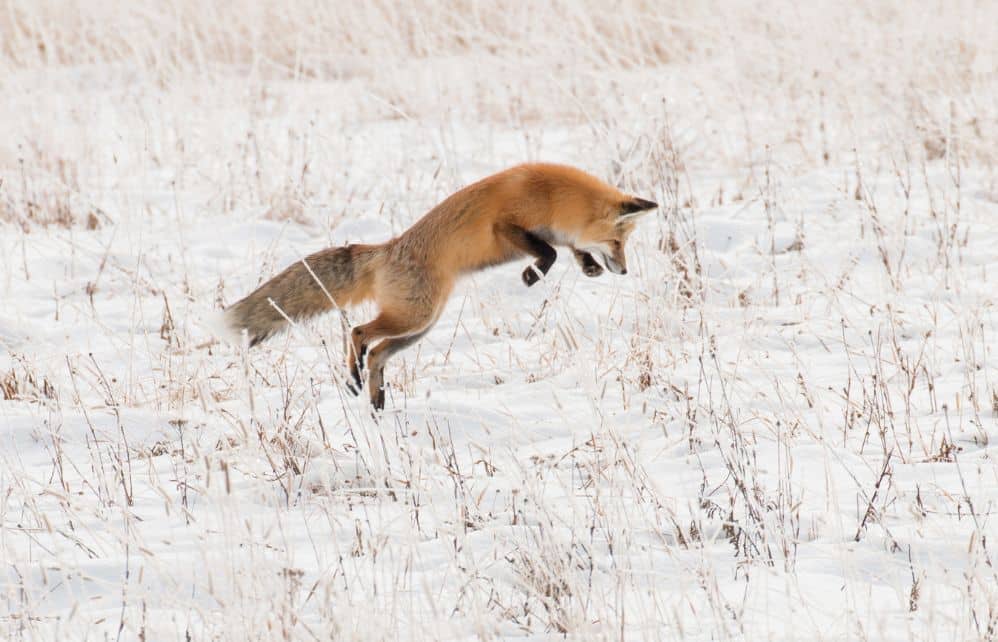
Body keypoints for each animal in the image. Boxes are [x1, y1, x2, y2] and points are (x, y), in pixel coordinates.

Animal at [220, 163, 657, 409]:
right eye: (618, 243)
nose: (624, 272)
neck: (552, 194)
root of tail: (387, 249)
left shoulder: (554, 231)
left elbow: (566, 247)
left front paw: (587, 267)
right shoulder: (506, 226)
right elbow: (547, 252)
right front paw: (533, 276)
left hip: (419, 325)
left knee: (378, 353)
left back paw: (377, 401)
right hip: (414, 316)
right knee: (358, 332)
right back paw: (356, 376)